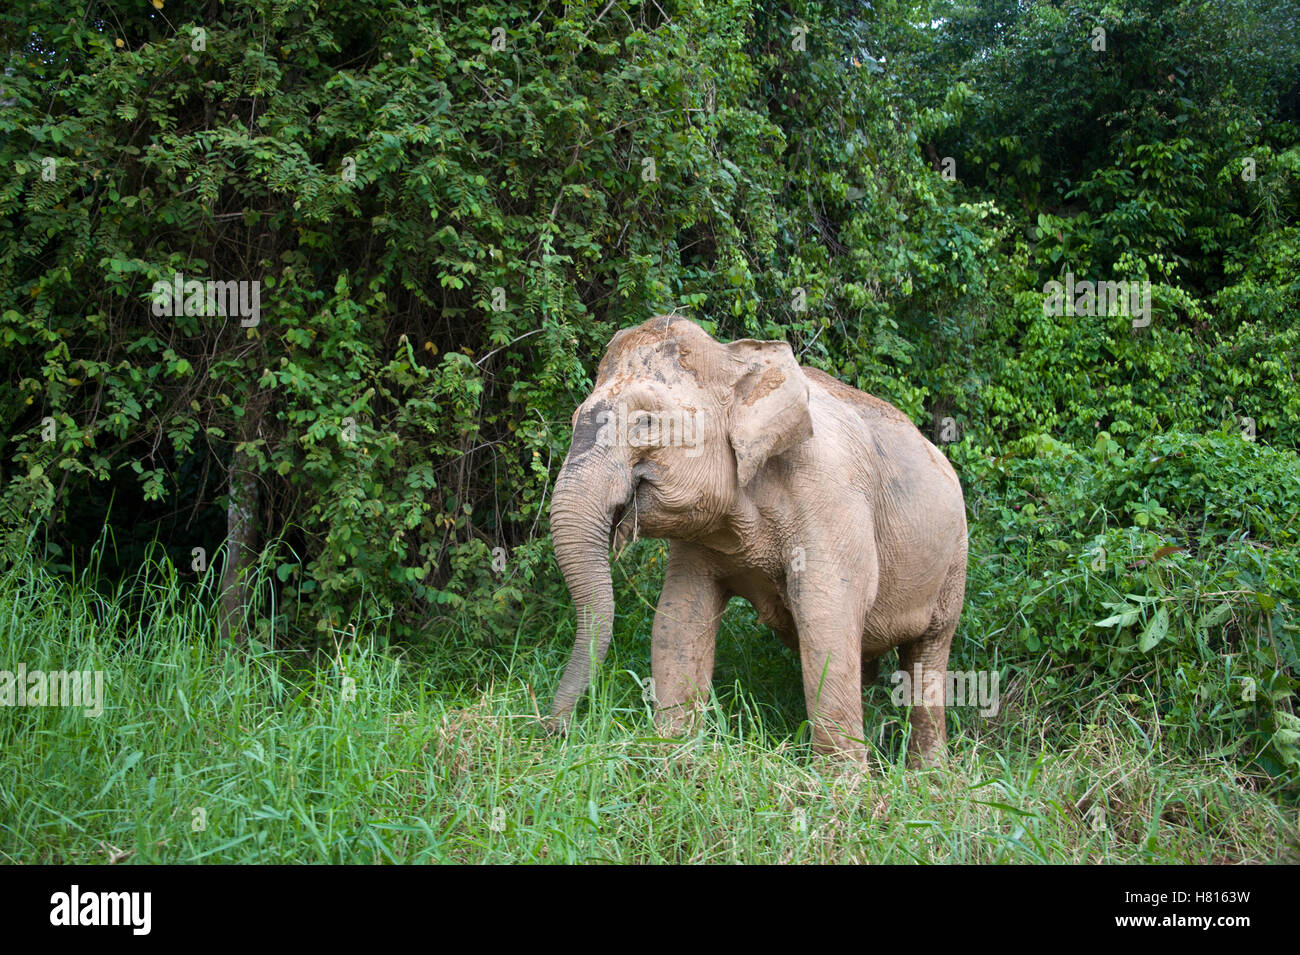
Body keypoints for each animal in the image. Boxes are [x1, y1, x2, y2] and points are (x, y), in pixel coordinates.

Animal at [546, 315, 968, 766]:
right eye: (573, 420)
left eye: (645, 422)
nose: (557, 731)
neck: (734, 357)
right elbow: (679, 614)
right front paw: (673, 754)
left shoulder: (831, 495)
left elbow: (827, 617)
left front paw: (842, 783)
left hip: (955, 560)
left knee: (928, 656)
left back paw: (929, 774)